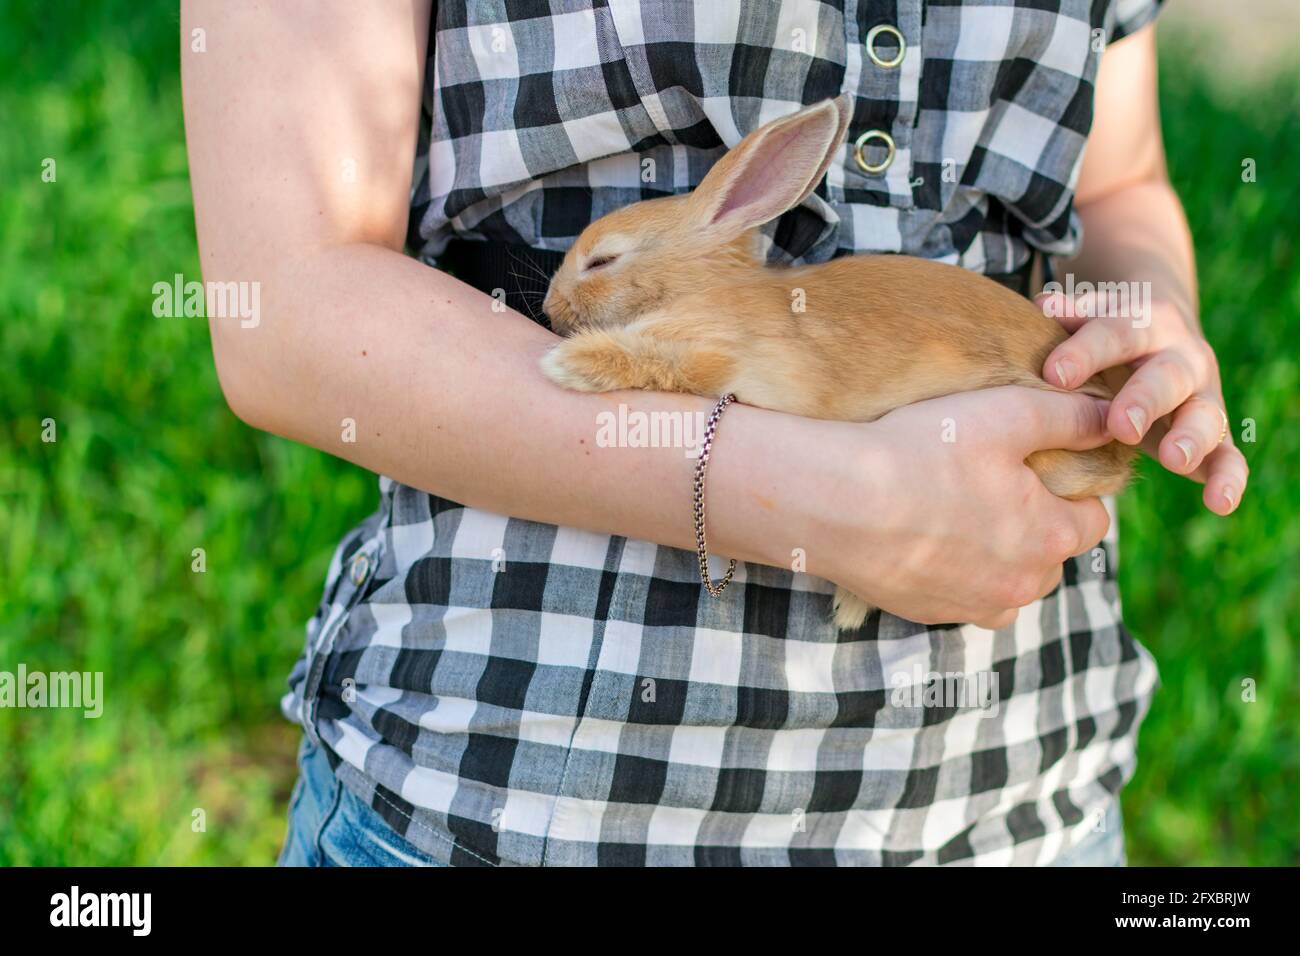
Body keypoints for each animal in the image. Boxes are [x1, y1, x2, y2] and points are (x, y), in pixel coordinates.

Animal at [539, 95, 1135, 631]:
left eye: (603, 261)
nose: (549, 308)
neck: (704, 290)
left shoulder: (729, 352)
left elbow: (662, 359)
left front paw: (566, 364)